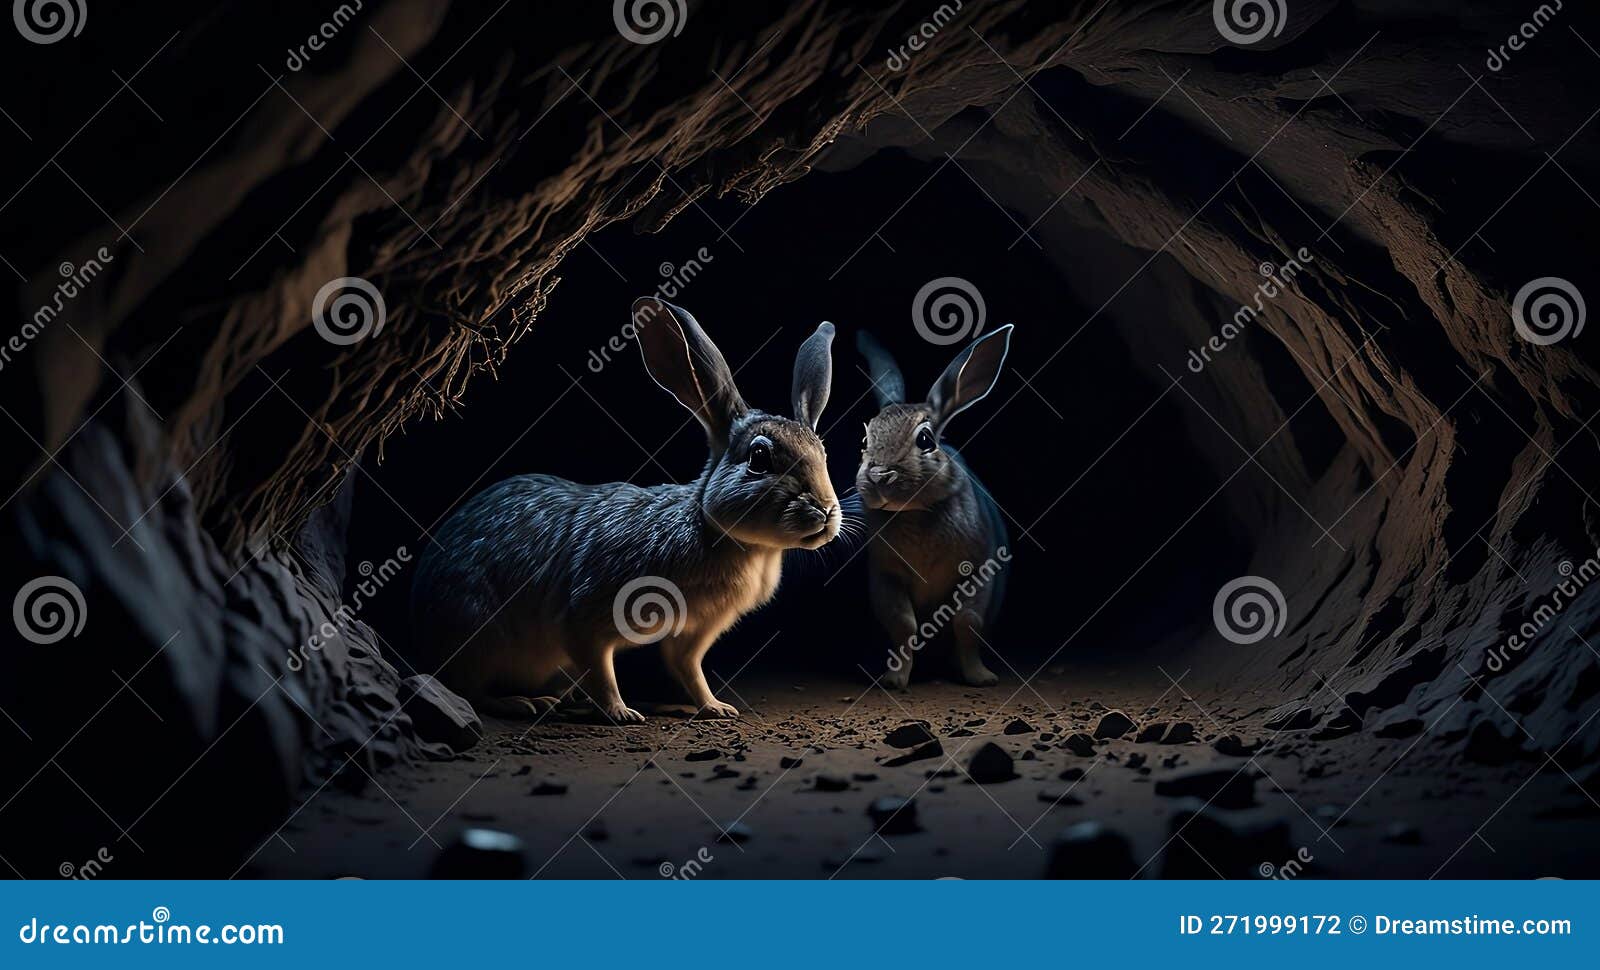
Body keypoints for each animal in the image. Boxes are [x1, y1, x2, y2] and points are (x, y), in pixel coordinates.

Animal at [410, 297, 841, 724]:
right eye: (759, 458)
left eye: (824, 455)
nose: (825, 511)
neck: (714, 529)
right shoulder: (587, 613)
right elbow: (600, 665)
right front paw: (621, 712)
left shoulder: (694, 632)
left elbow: (688, 667)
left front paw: (715, 707)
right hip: (476, 631)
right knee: (470, 688)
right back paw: (525, 703)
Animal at [854, 324, 1015, 690]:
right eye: (866, 440)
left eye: (925, 440)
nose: (879, 476)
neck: (915, 511)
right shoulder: (886, 577)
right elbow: (904, 625)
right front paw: (894, 681)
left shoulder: (978, 570)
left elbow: (967, 623)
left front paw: (981, 678)